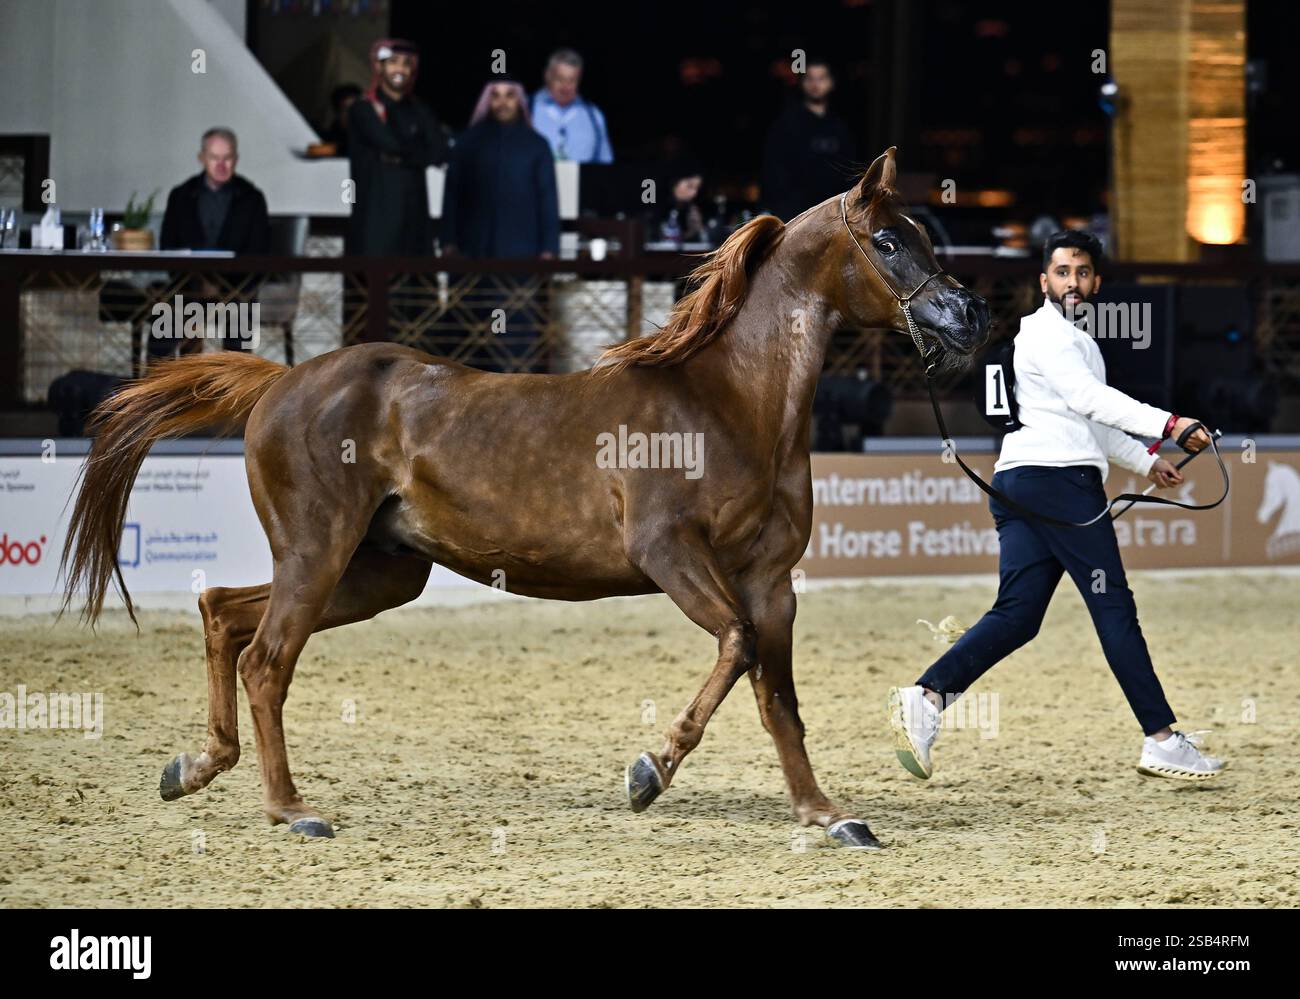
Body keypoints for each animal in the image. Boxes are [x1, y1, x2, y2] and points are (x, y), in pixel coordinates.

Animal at [61, 147, 990, 849]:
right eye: (888, 240)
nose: (968, 315)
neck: (727, 403)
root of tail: (281, 380)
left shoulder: (773, 580)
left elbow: (777, 697)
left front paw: (828, 815)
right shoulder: (670, 552)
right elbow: (736, 646)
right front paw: (648, 771)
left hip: (377, 572)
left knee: (221, 611)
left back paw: (194, 768)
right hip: (318, 554)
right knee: (266, 659)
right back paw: (292, 809)